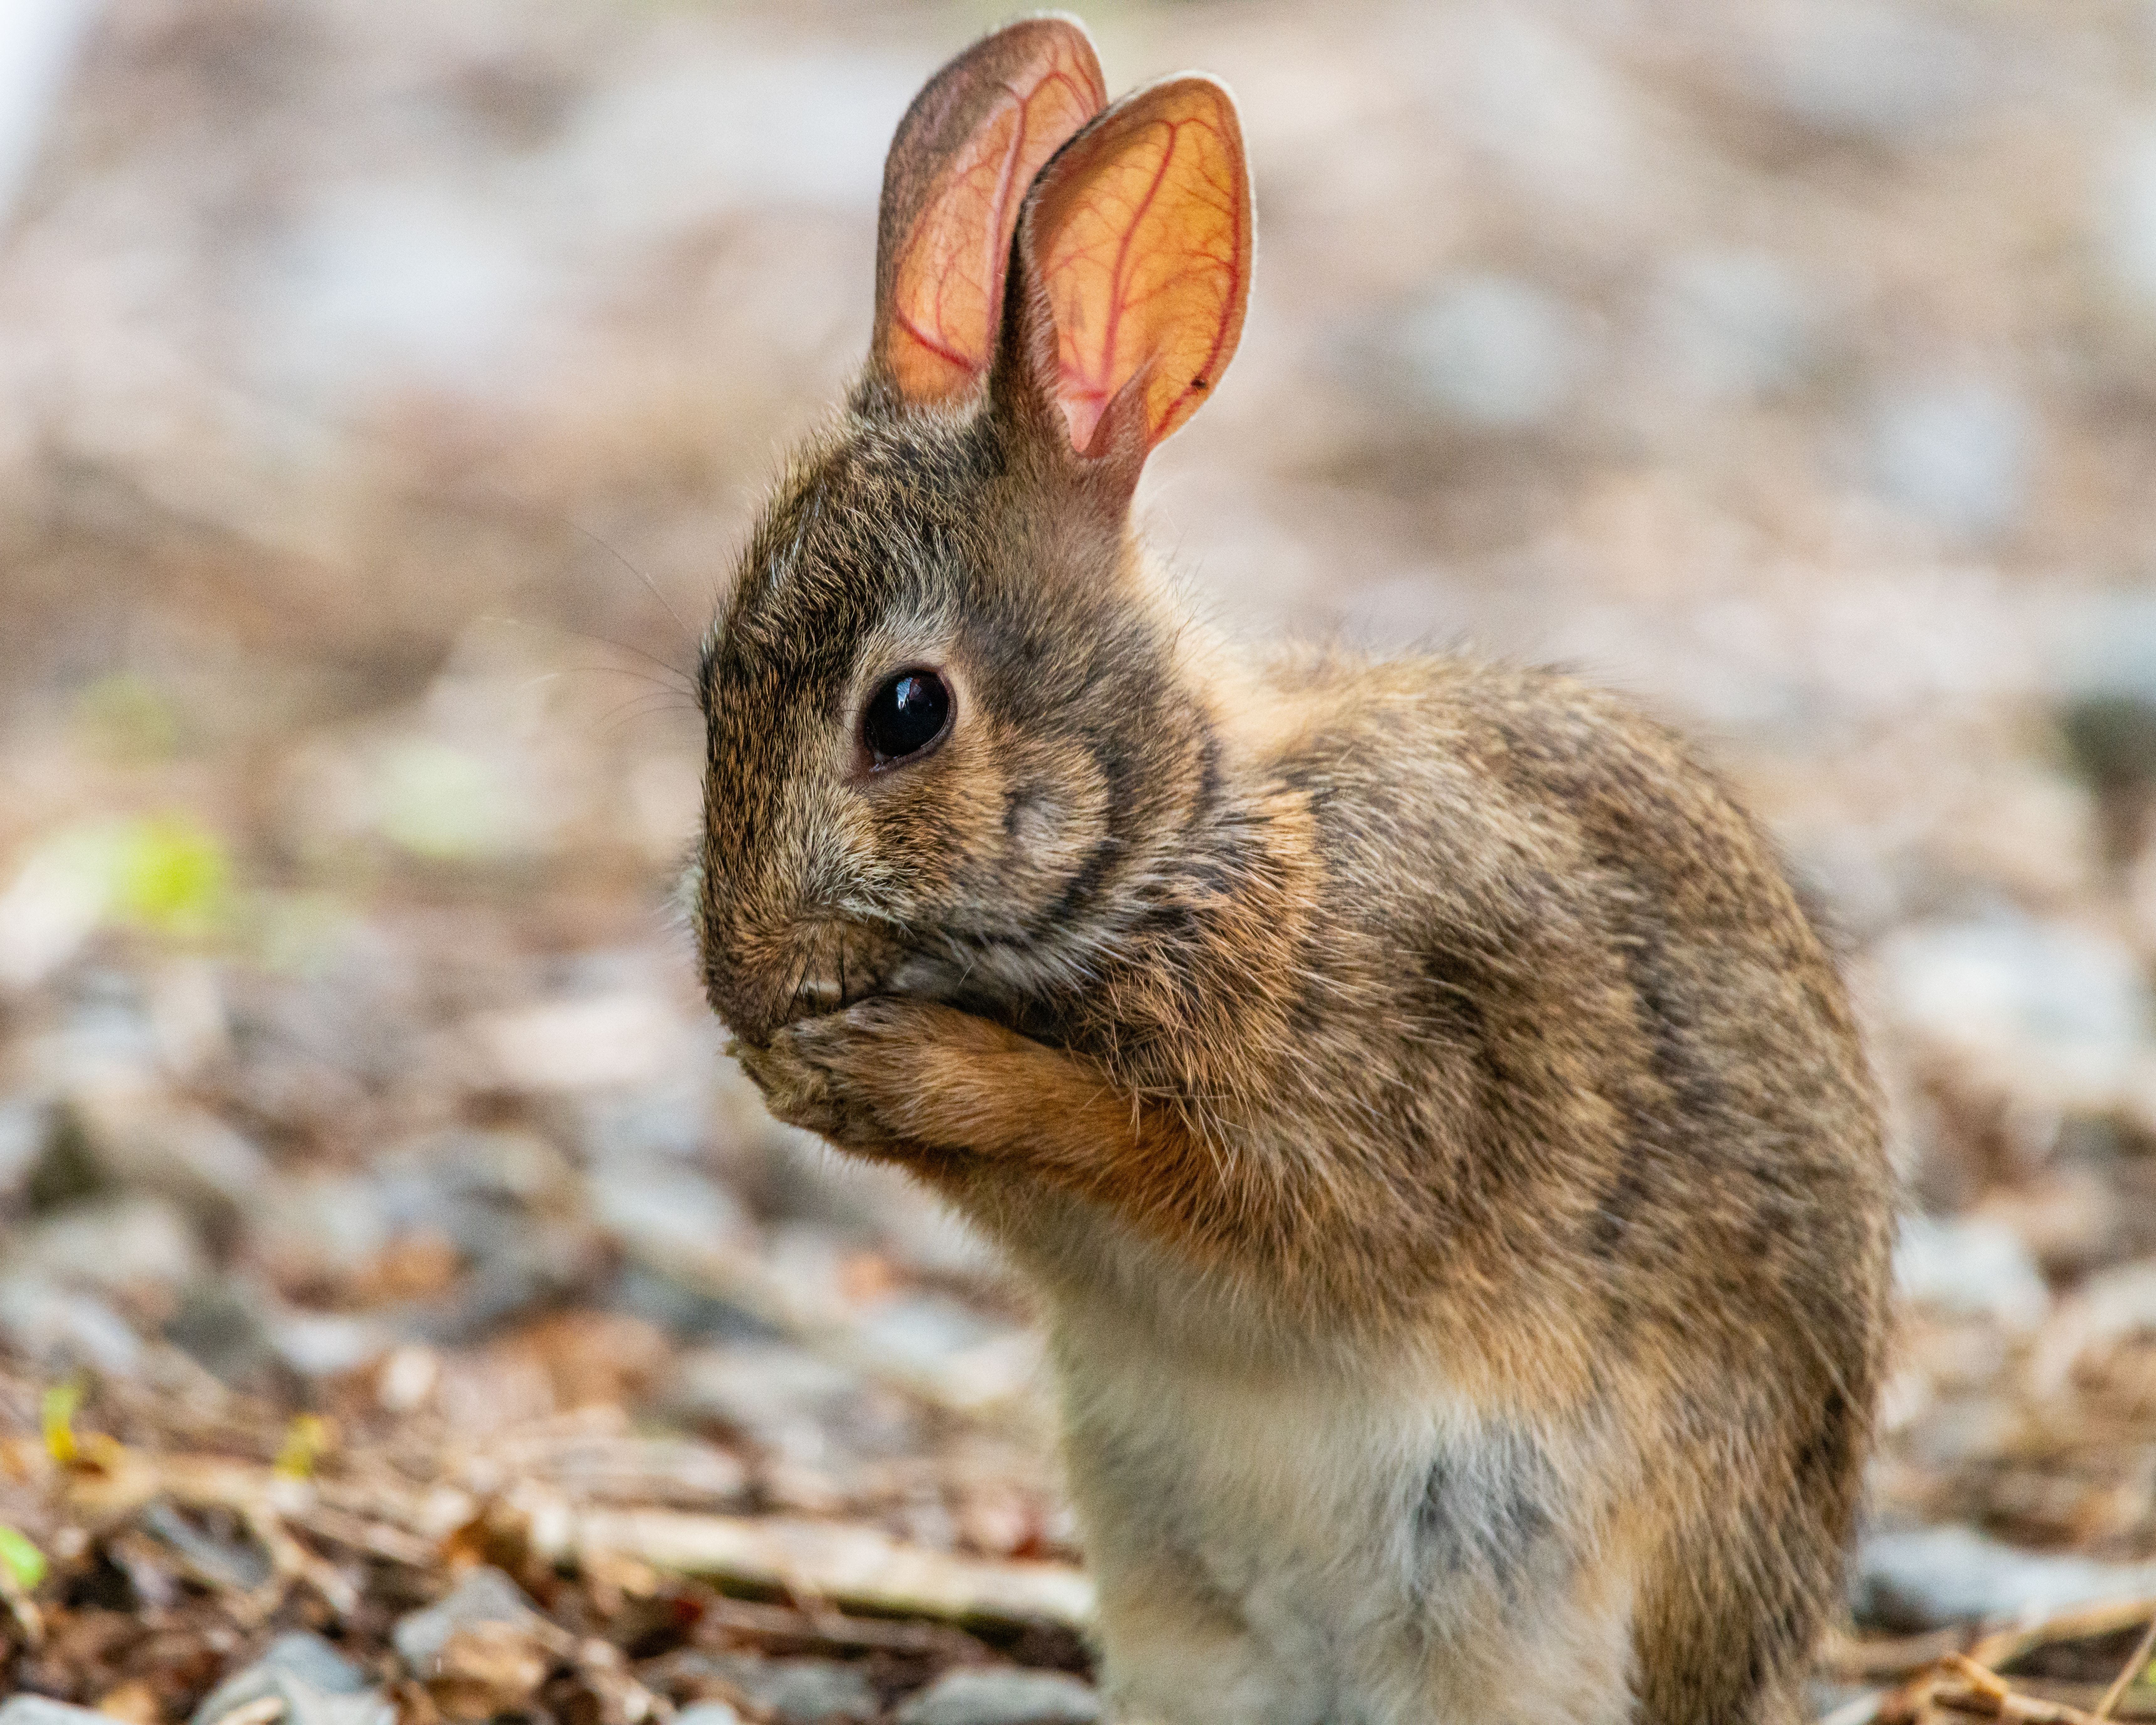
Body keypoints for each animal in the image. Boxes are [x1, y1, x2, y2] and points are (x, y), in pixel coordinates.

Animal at [692, 15, 1895, 1724]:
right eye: (708, 677)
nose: (738, 980)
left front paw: (893, 1064)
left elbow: (1159, 1157)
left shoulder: (1379, 1103)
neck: (1169, 844)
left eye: (905, 714)